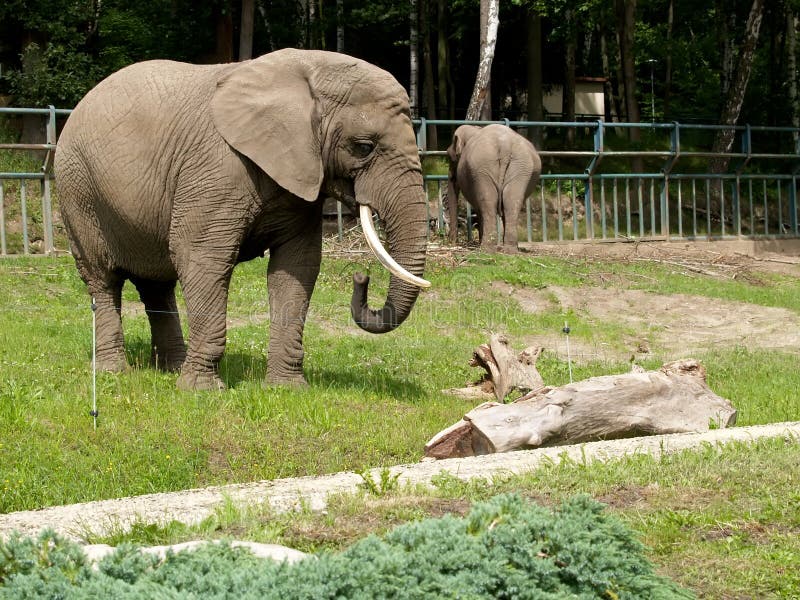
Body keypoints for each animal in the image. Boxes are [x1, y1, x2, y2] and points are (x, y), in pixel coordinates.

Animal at [54, 48, 430, 391]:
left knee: (156, 283)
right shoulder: (217, 169)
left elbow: (297, 266)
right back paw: (114, 371)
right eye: (364, 147)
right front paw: (202, 392)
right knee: (103, 278)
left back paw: (172, 368)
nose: (361, 277)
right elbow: (203, 257)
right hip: (77, 190)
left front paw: (287, 389)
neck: (308, 72)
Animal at [445, 124, 541, 253]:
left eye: (450, 157)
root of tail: (505, 145)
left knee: (488, 202)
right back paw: (510, 250)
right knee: (511, 201)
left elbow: (479, 208)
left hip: (482, 167)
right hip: (522, 168)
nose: (452, 242)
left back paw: (486, 248)